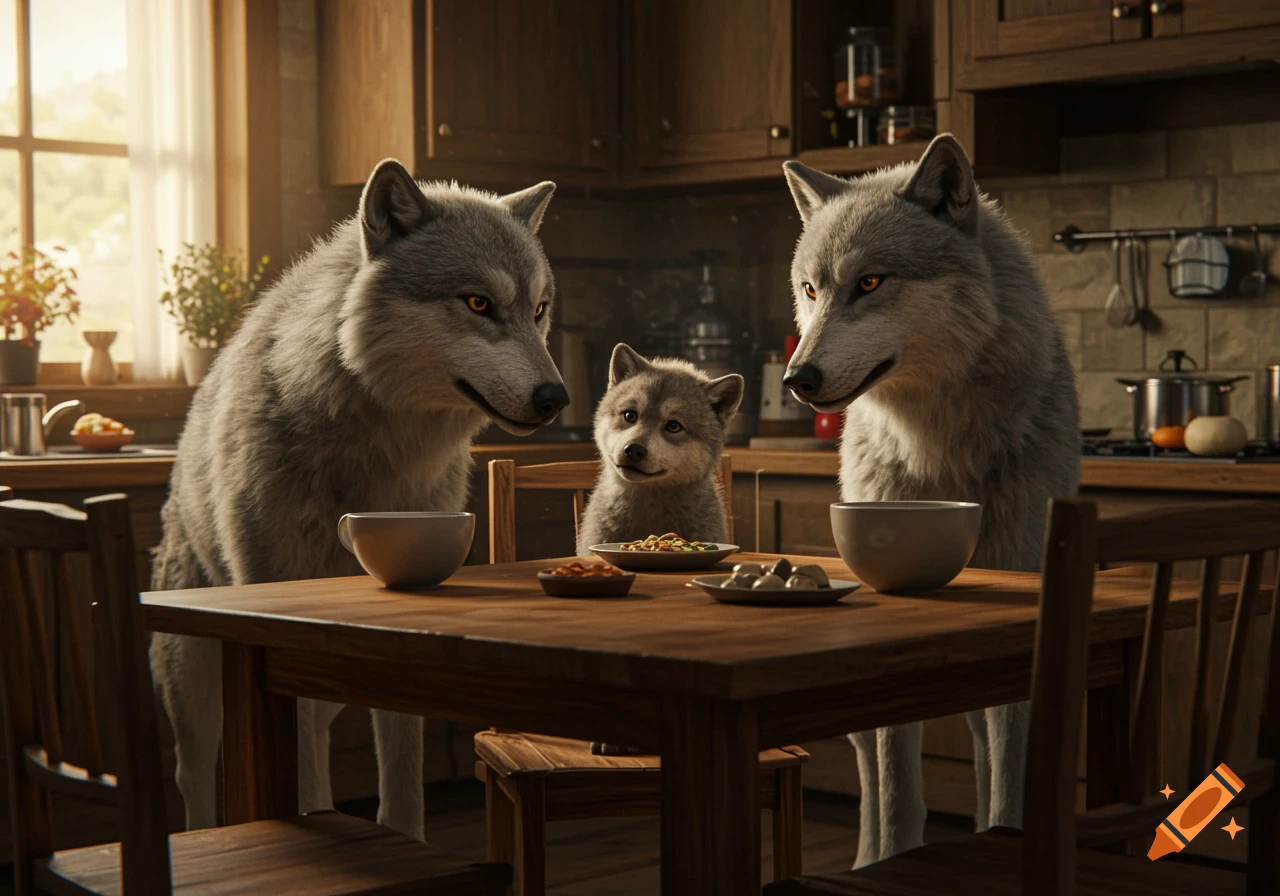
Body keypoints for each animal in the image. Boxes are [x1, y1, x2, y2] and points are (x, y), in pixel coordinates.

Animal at [150, 158, 568, 839]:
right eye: (478, 302)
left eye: (538, 310)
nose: (557, 399)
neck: (376, 447)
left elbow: (401, 784)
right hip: (194, 678)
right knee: (192, 778)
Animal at [780, 135, 1080, 867]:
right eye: (811, 289)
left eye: (869, 283)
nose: (796, 378)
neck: (940, 445)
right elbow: (896, 788)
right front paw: (891, 857)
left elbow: (1010, 772)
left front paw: (1006, 833)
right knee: (868, 764)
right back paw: (865, 855)